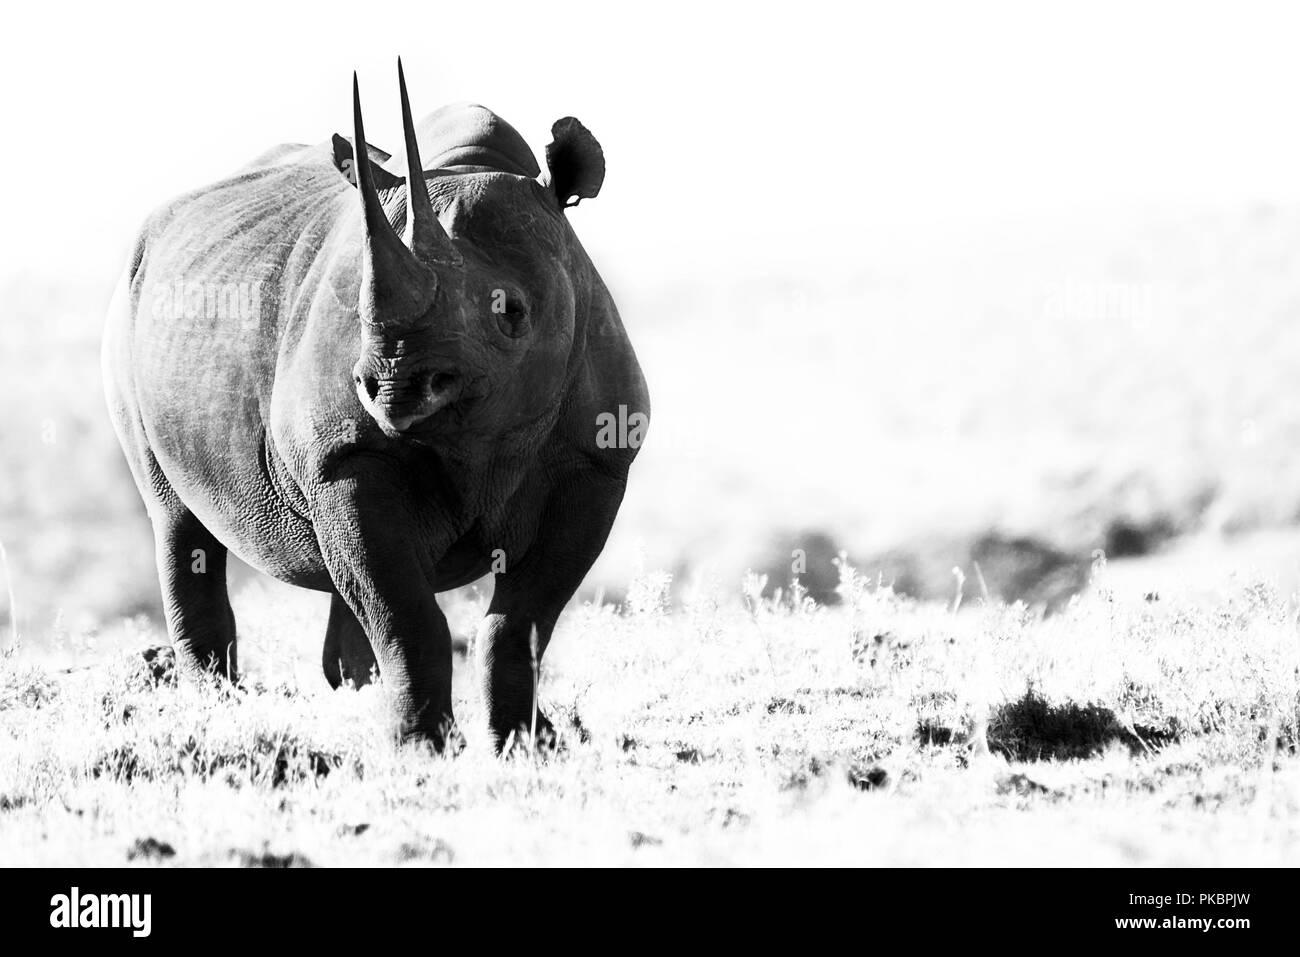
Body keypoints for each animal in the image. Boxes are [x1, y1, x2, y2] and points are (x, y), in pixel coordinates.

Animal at [102, 61, 649, 751]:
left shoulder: (595, 462)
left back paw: (356, 693)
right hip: (127, 305)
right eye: (358, 311)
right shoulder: (343, 457)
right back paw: (219, 712)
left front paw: (525, 744)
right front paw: (422, 747)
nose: (393, 385)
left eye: (511, 311)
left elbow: (520, 620)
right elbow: (404, 614)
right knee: (176, 519)